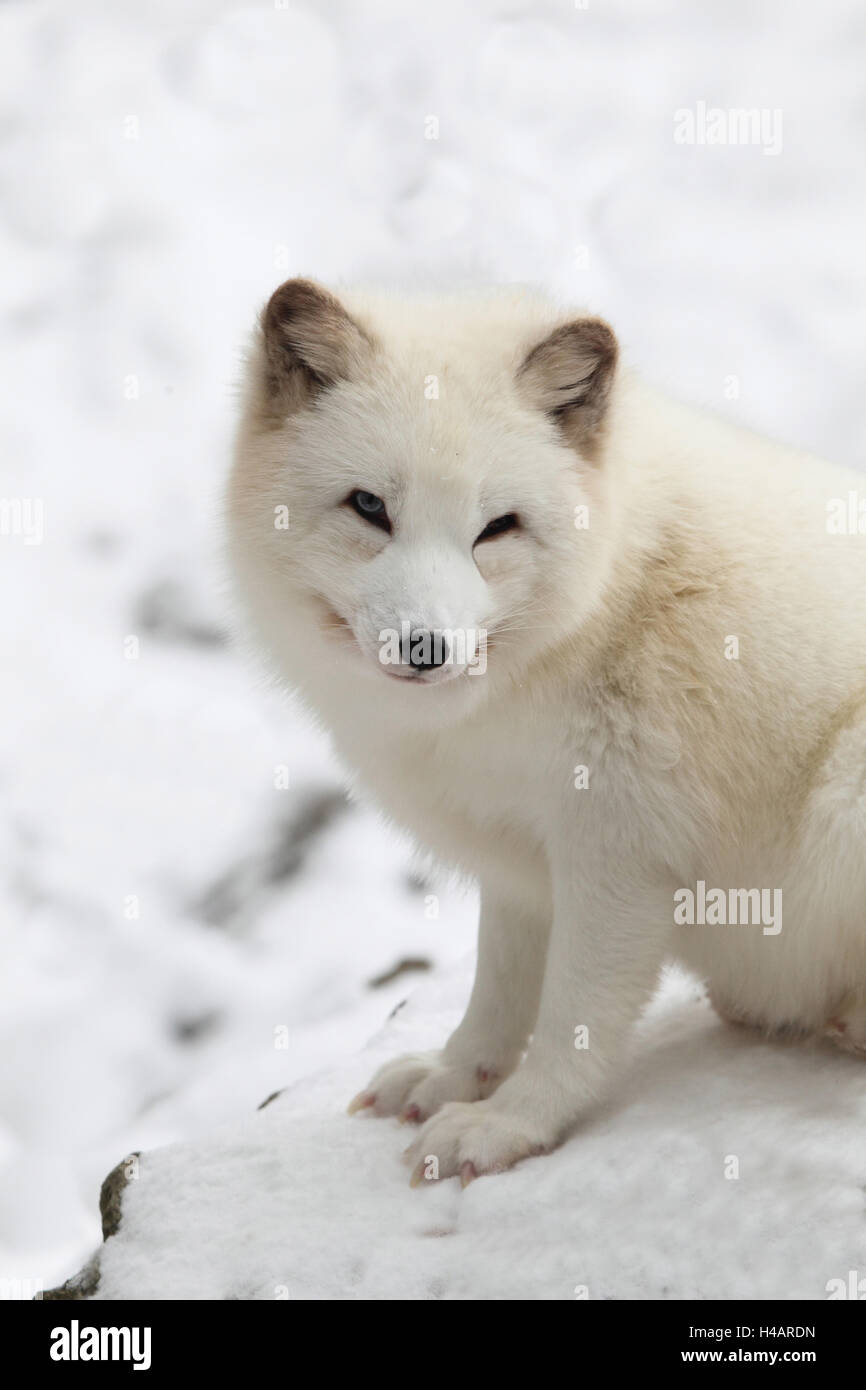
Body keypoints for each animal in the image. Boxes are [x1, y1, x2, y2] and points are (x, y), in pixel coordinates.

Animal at [227, 278, 866, 1184]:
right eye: (369, 507)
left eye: (497, 527)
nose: (427, 646)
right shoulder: (519, 854)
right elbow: (497, 991)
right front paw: (453, 1076)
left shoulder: (619, 851)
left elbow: (575, 1017)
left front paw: (511, 1123)